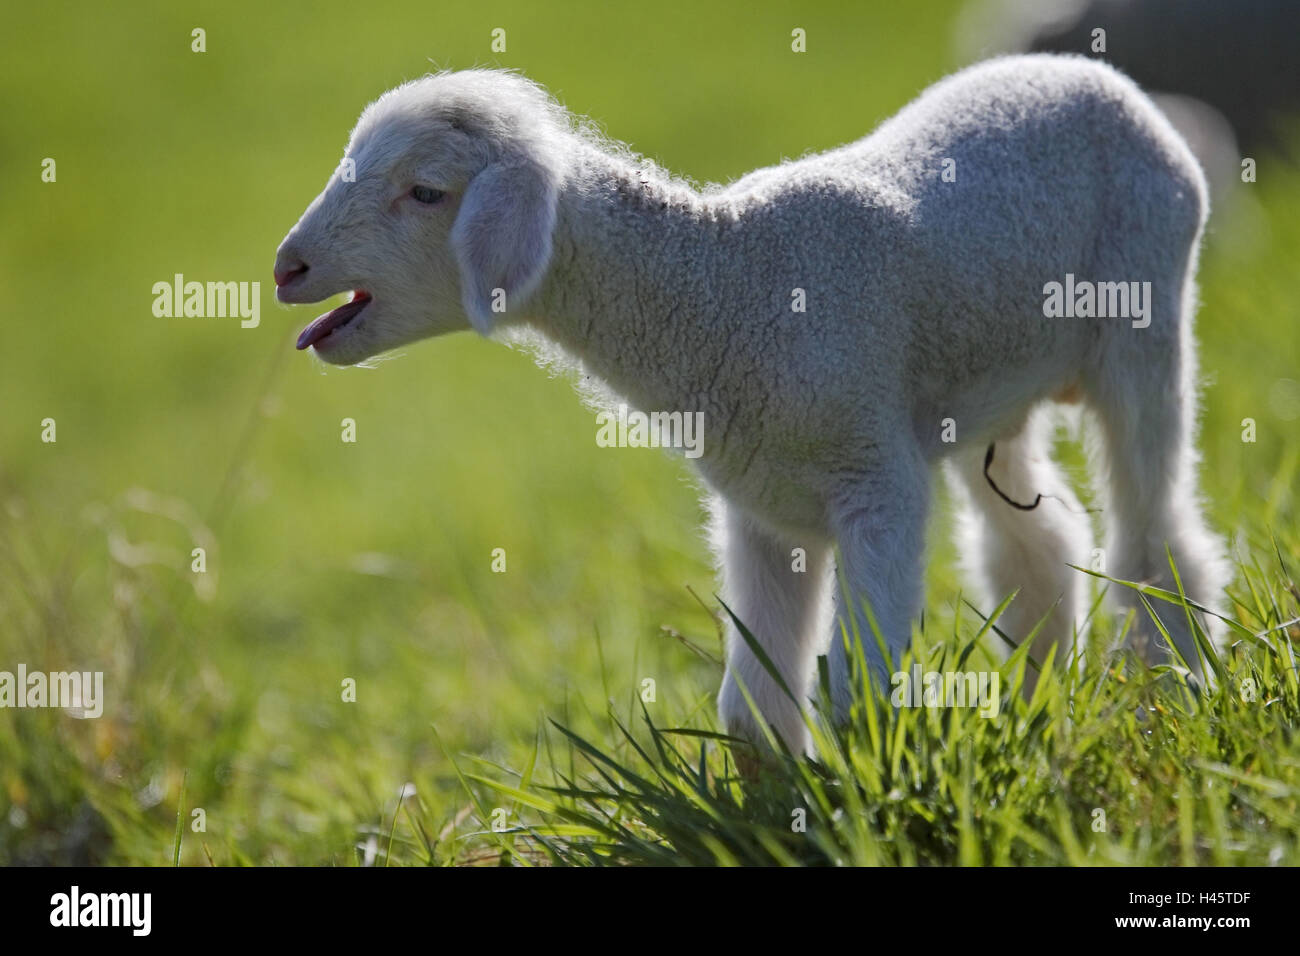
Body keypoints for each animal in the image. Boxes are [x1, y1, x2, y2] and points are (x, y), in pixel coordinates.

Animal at [273, 54, 1229, 758]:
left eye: (426, 191)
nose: (288, 267)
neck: (726, 286)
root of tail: (1088, 71)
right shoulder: (767, 506)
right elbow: (752, 711)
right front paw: (777, 811)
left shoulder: (876, 480)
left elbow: (858, 686)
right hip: (982, 395)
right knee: (1037, 545)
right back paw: (1044, 695)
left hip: (1145, 319)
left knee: (1154, 538)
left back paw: (1171, 687)